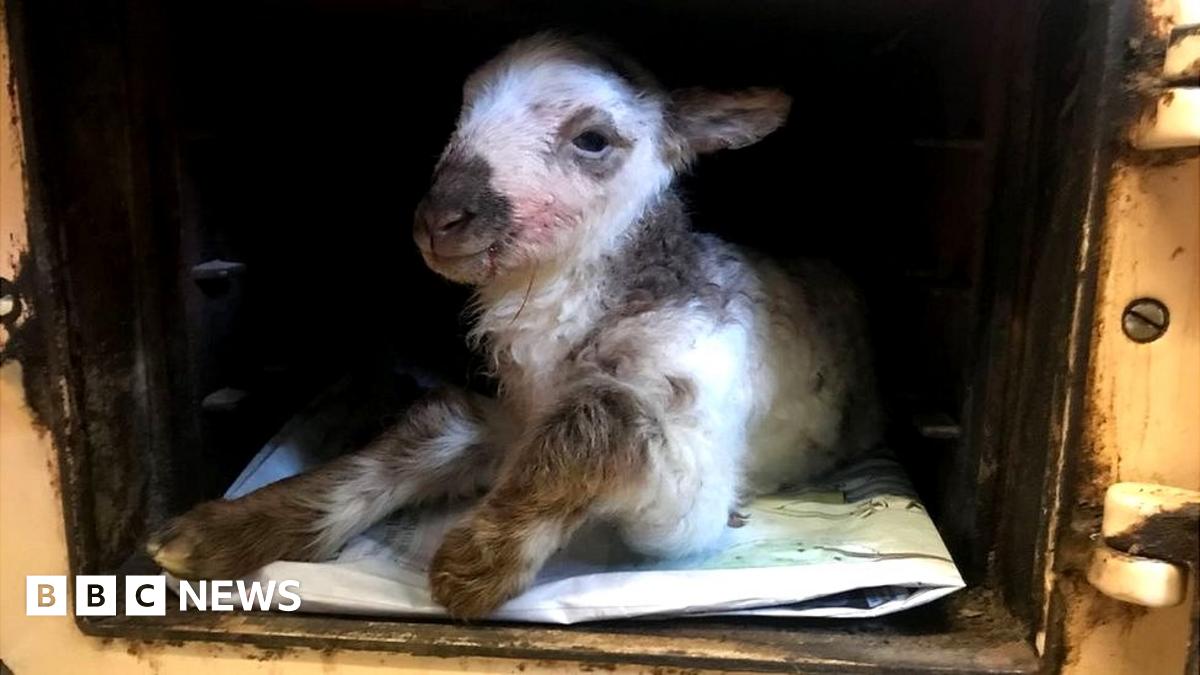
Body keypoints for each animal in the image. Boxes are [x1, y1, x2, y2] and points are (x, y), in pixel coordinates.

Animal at [147, 33, 881, 619]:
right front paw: (216, 534)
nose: (440, 218)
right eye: (460, 114)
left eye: (593, 139)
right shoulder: (509, 419)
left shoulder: (689, 476)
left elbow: (598, 419)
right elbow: (414, 441)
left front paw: (475, 564)